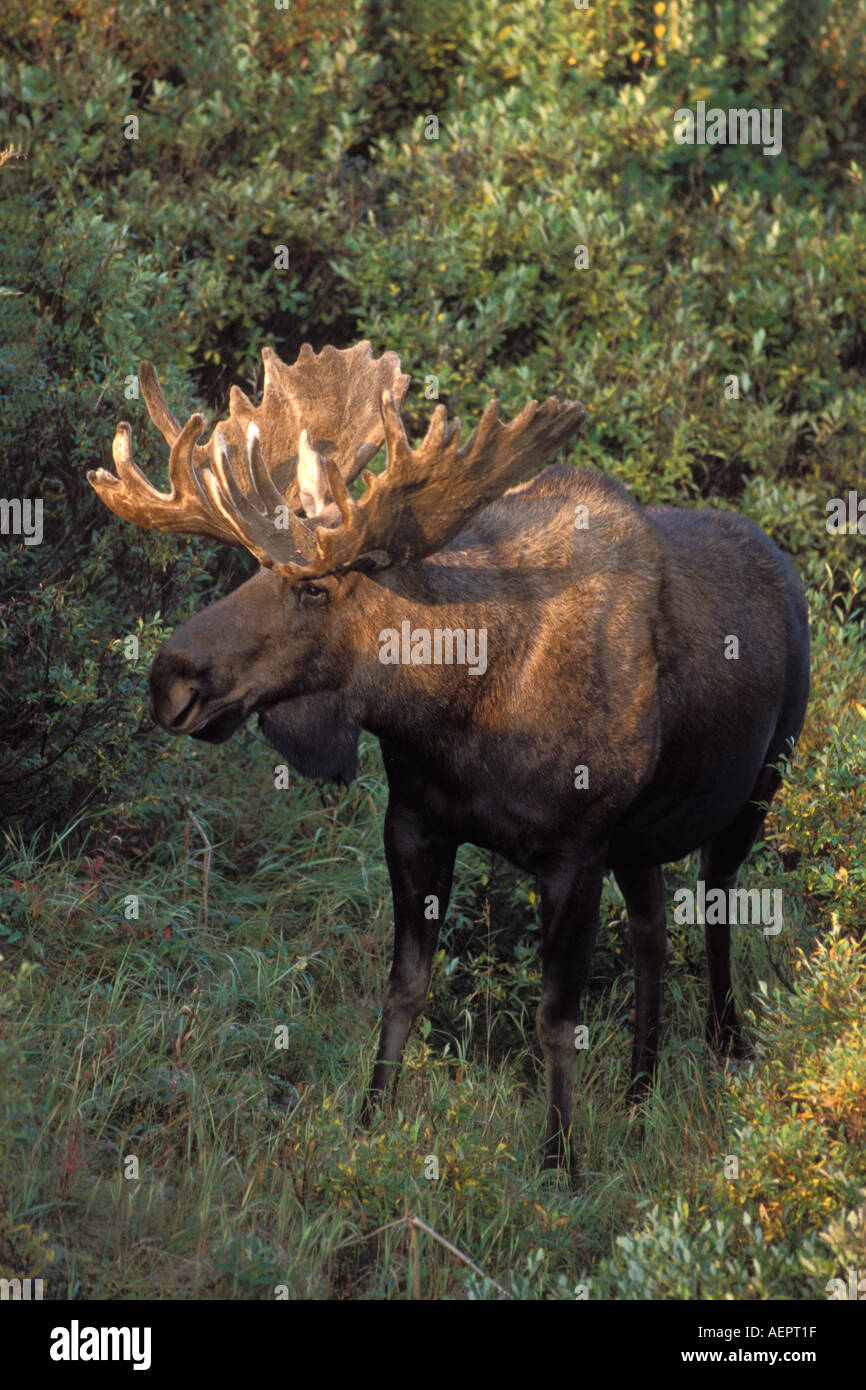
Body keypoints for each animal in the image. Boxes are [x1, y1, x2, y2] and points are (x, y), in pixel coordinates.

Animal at [88, 340, 810, 1173]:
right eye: (253, 573)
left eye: (314, 590)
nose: (168, 680)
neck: (461, 715)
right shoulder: (416, 823)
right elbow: (404, 988)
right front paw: (368, 1121)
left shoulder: (577, 849)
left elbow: (555, 1019)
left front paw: (559, 1159)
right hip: (642, 839)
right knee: (653, 929)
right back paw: (638, 1093)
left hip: (760, 787)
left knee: (717, 912)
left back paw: (727, 1051)